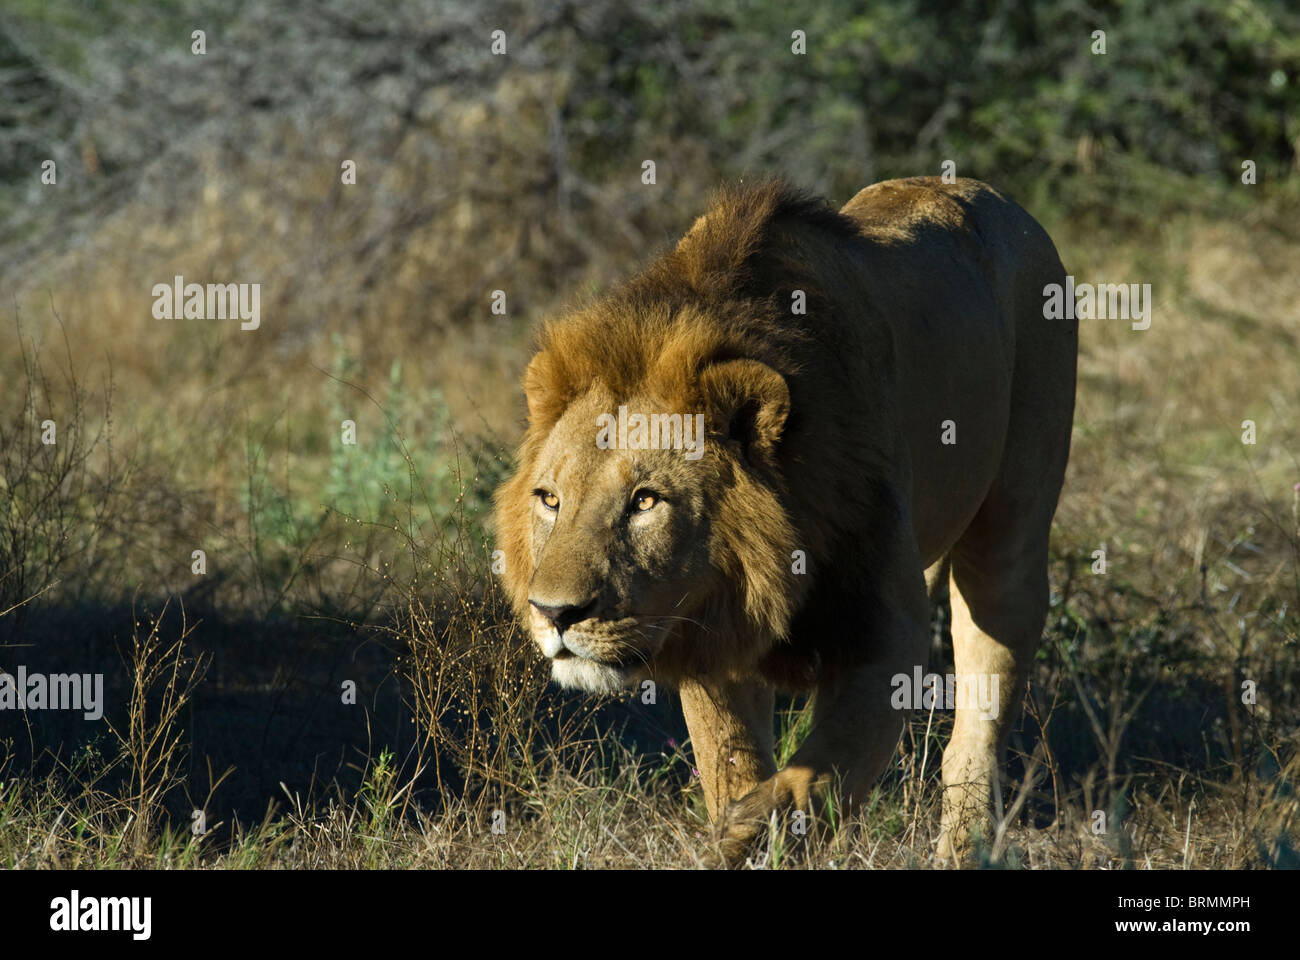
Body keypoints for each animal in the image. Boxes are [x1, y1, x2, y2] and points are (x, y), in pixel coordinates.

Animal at [493, 176, 1077, 864]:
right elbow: (736, 764)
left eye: (645, 501)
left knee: (976, 728)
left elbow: (816, 776)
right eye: (549, 500)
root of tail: (988, 193)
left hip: (1011, 535)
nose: (554, 614)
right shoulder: (707, 638)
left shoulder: (885, 635)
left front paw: (753, 831)